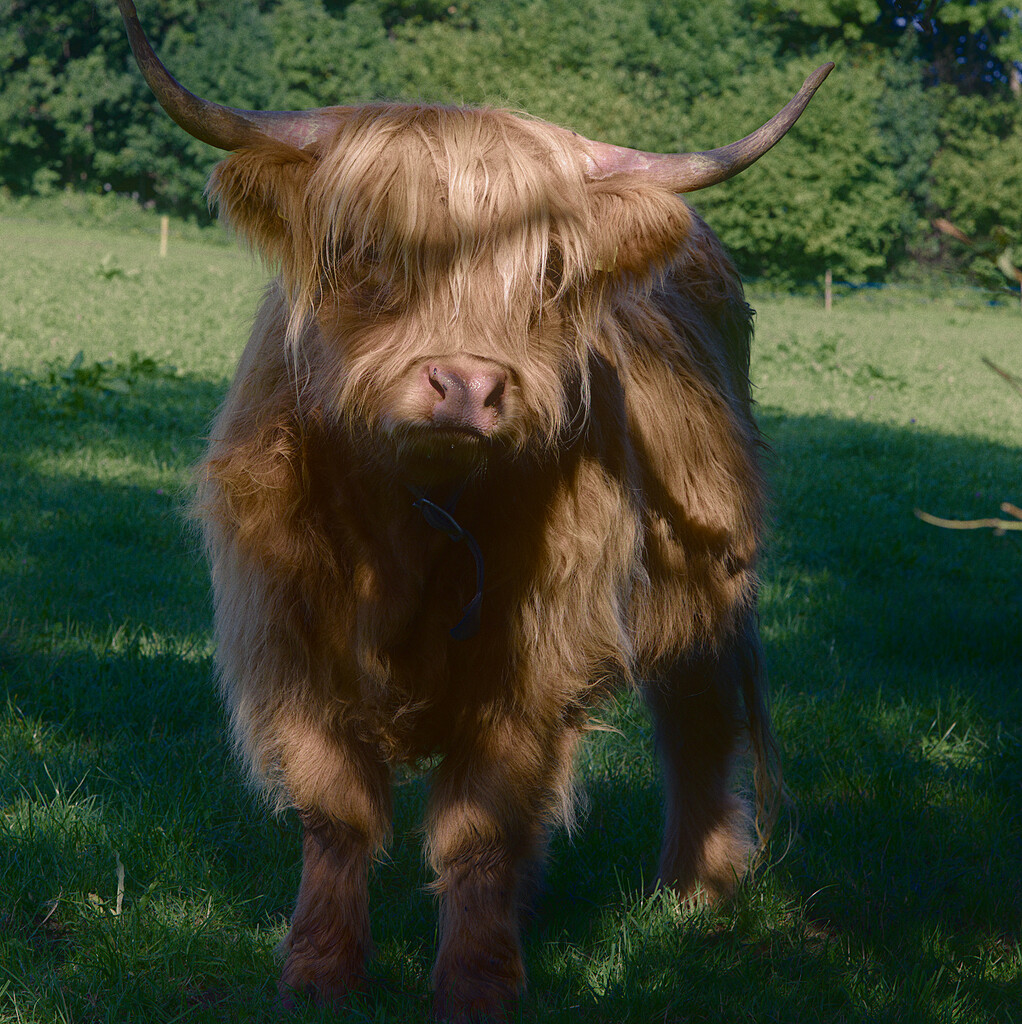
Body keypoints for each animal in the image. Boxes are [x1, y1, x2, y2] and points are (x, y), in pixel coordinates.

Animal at [117, 2, 830, 1019]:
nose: (467, 386)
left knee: (698, 722)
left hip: (708, 582)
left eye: (548, 275)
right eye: (371, 254)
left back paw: (699, 893)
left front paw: (478, 981)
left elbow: (484, 821)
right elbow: (336, 810)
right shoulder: (290, 632)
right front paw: (320, 970)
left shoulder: (537, 651)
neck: (412, 519)